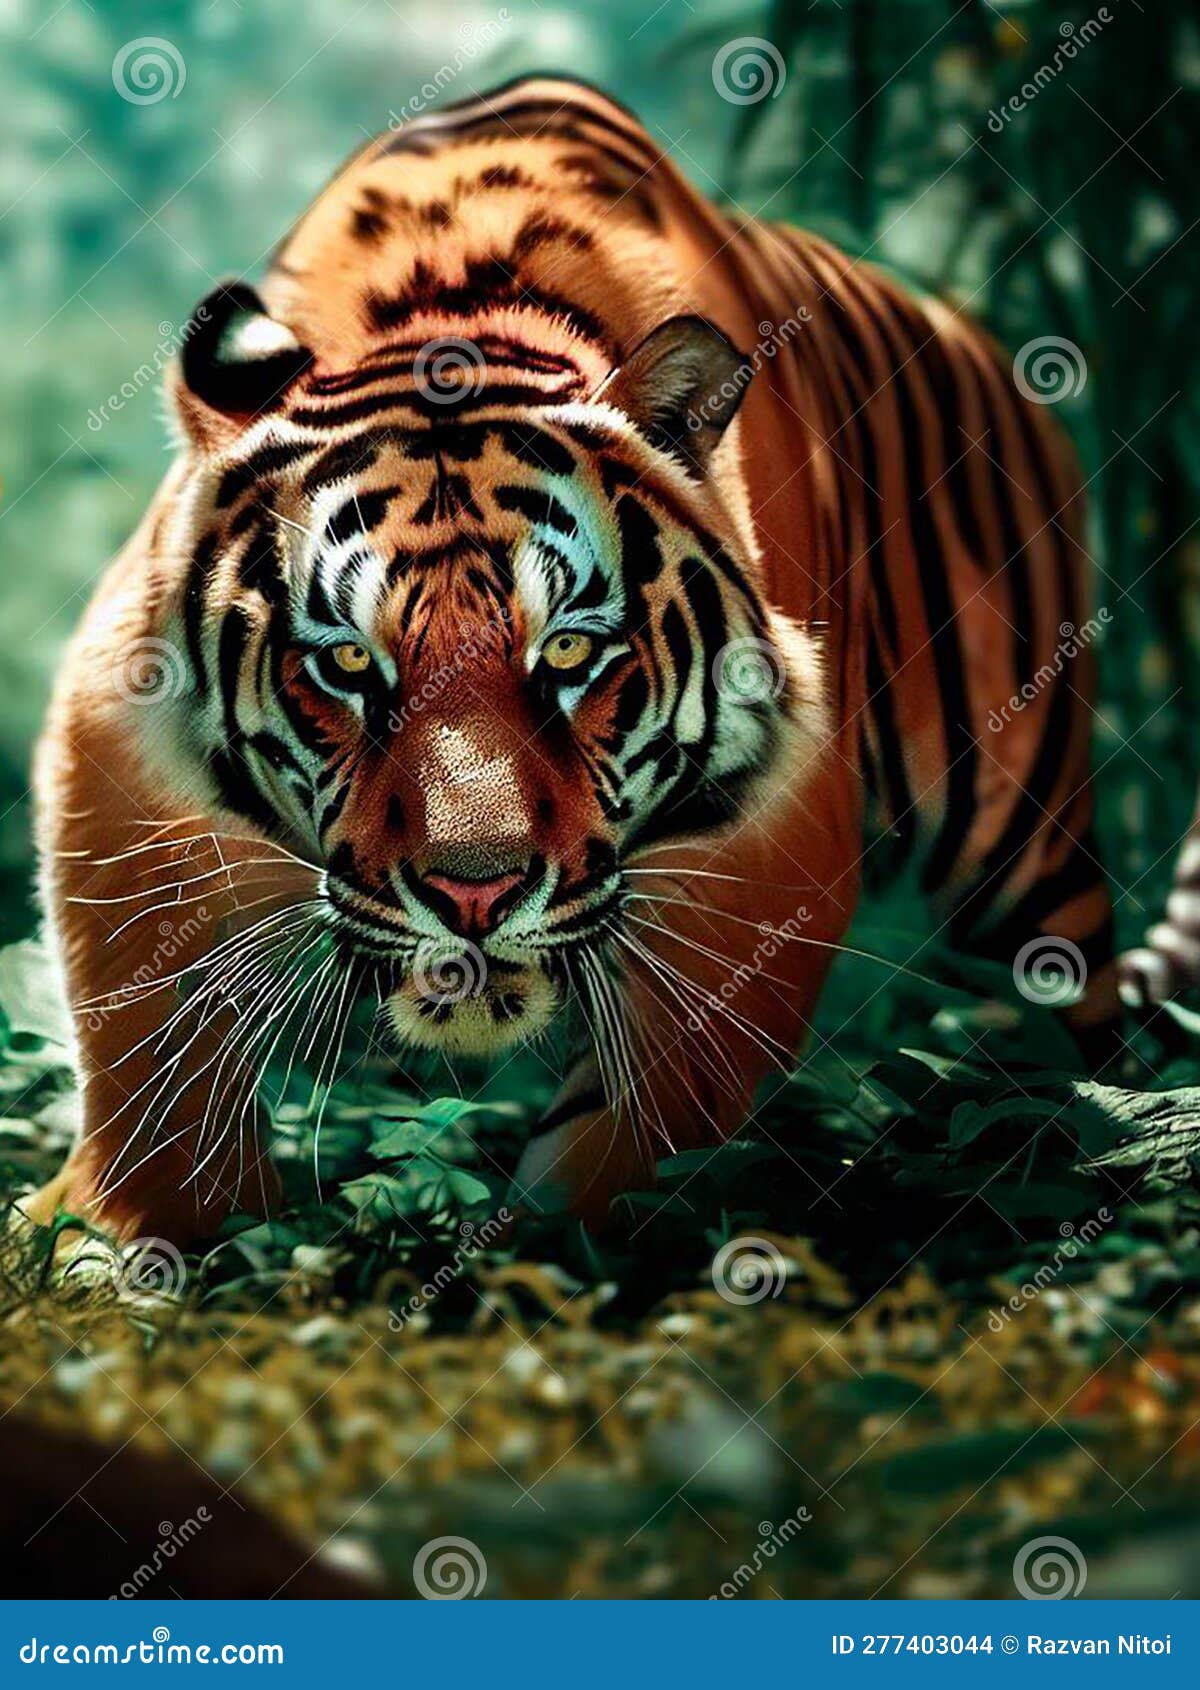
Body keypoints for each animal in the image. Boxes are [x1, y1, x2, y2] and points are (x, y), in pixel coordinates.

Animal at [22, 74, 1167, 1247]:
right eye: (345, 663)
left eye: (568, 649)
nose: (474, 895)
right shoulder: (120, 754)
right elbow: (144, 1029)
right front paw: (132, 1231)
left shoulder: (765, 840)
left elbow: (640, 1121)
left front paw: (568, 1254)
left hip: (1024, 836)